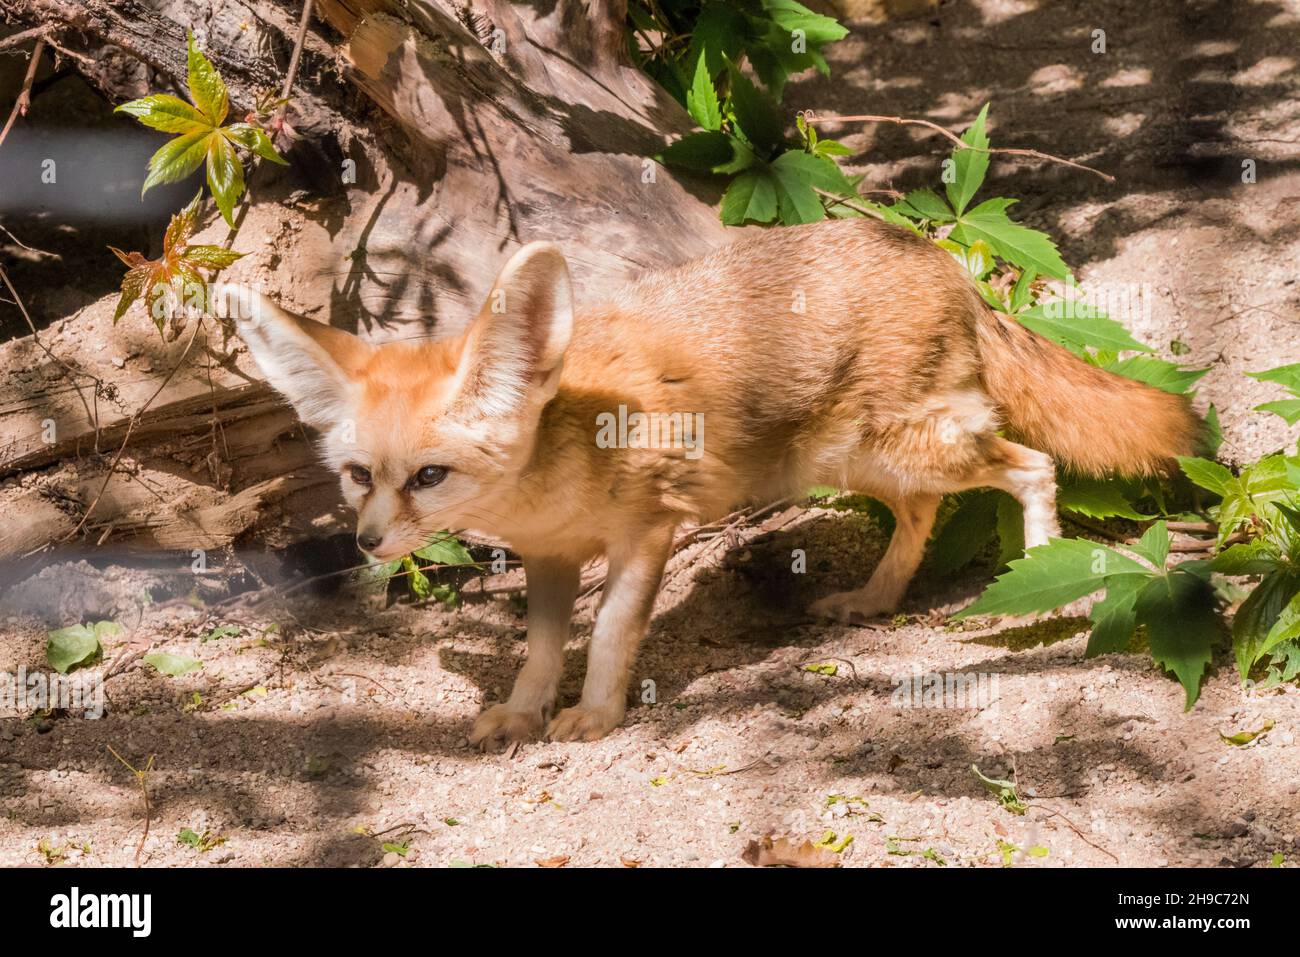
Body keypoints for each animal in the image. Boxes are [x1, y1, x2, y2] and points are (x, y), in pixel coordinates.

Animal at [217, 218, 1199, 746]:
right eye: (358, 476)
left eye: (429, 475)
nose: (367, 541)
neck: (559, 471)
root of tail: (935, 254)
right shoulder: (549, 560)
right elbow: (539, 650)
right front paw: (524, 712)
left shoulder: (647, 535)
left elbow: (610, 637)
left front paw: (596, 714)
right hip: (857, 461)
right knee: (922, 513)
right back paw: (875, 597)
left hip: (908, 447)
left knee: (1032, 465)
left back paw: (1051, 572)